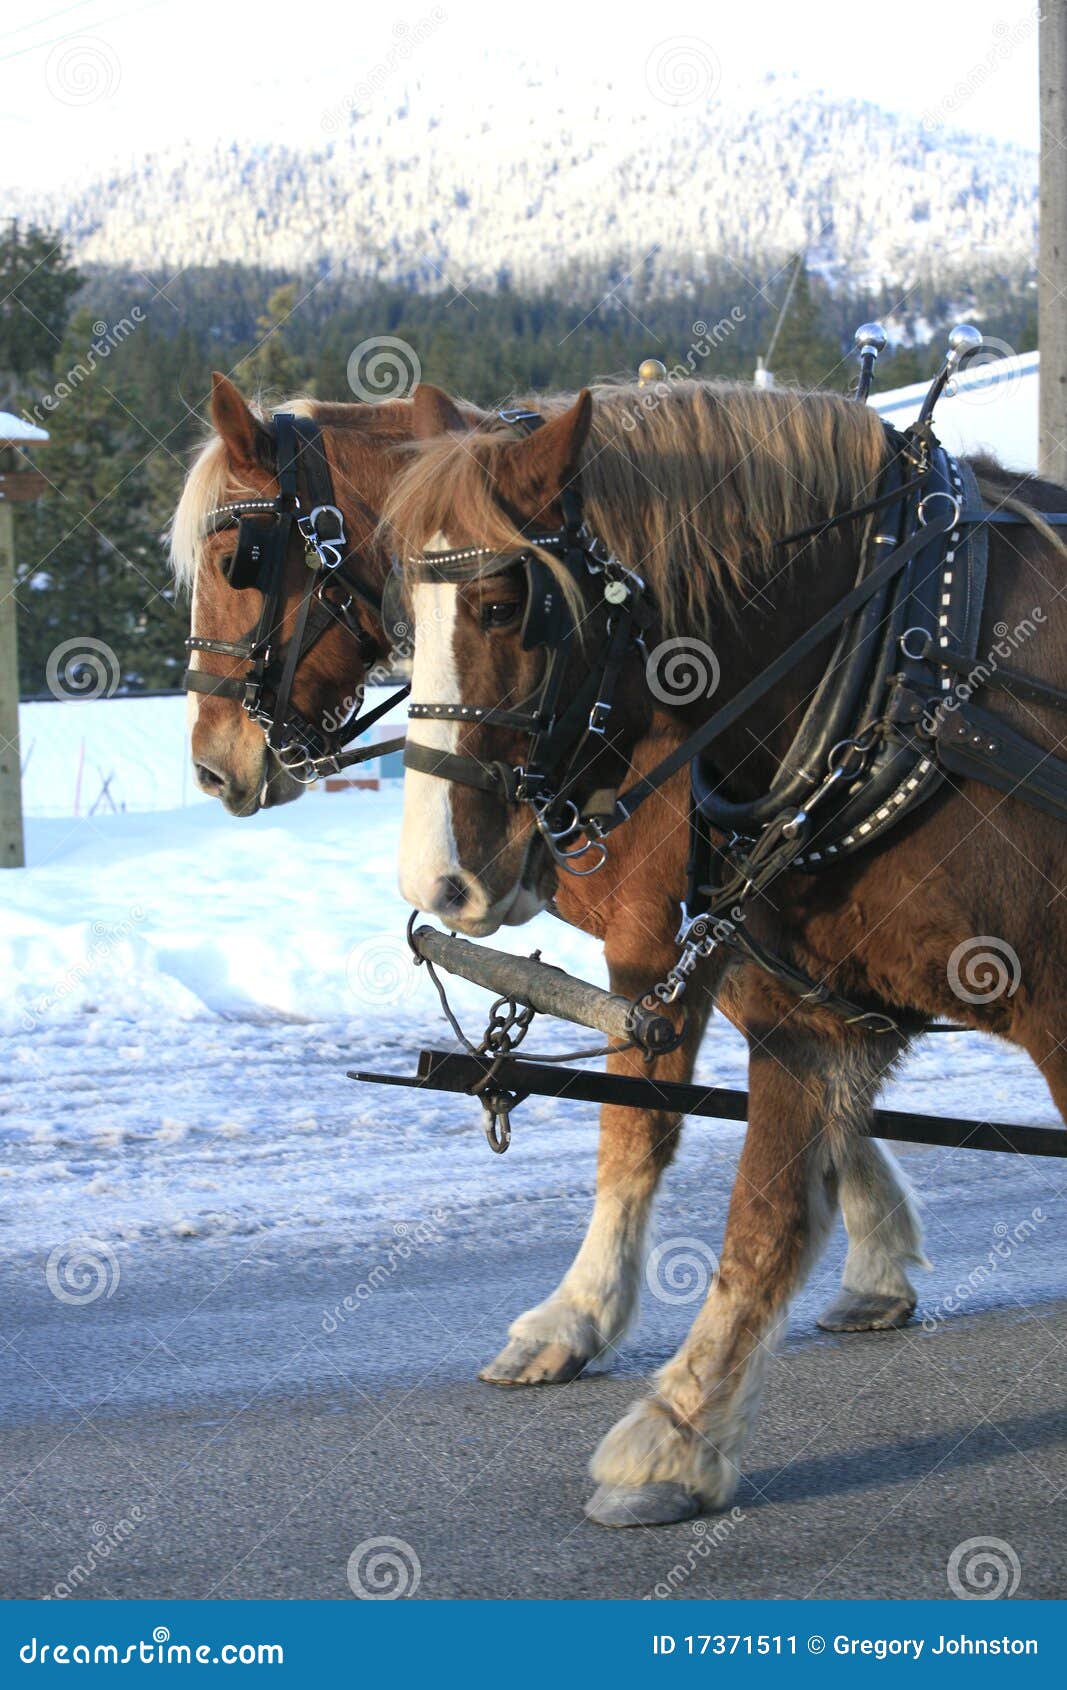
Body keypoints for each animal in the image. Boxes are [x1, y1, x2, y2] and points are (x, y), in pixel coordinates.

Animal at [382, 375, 1067, 1526]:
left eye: (505, 605)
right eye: (401, 609)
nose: (439, 882)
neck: (904, 670)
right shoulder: (805, 1010)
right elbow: (762, 1217)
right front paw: (674, 1437)